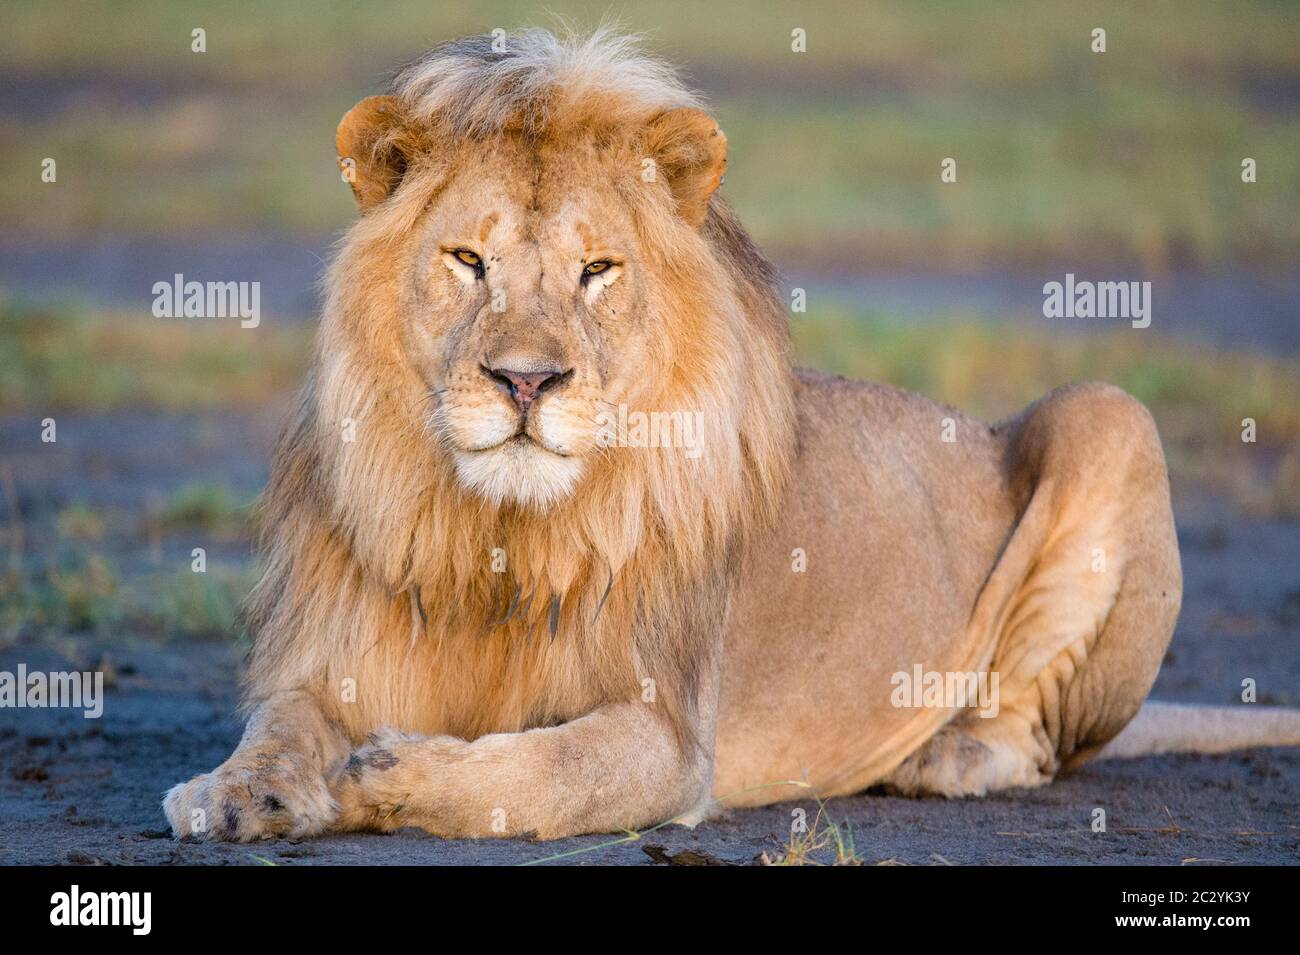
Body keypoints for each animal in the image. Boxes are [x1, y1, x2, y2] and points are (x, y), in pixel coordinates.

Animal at [164, 28, 1300, 842]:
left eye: (597, 270)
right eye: (466, 260)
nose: (526, 380)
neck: (496, 539)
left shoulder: (670, 732)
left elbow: (540, 773)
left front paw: (384, 777)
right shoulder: (326, 660)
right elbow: (279, 726)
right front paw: (234, 792)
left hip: (1108, 412)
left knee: (1043, 736)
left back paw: (945, 754)